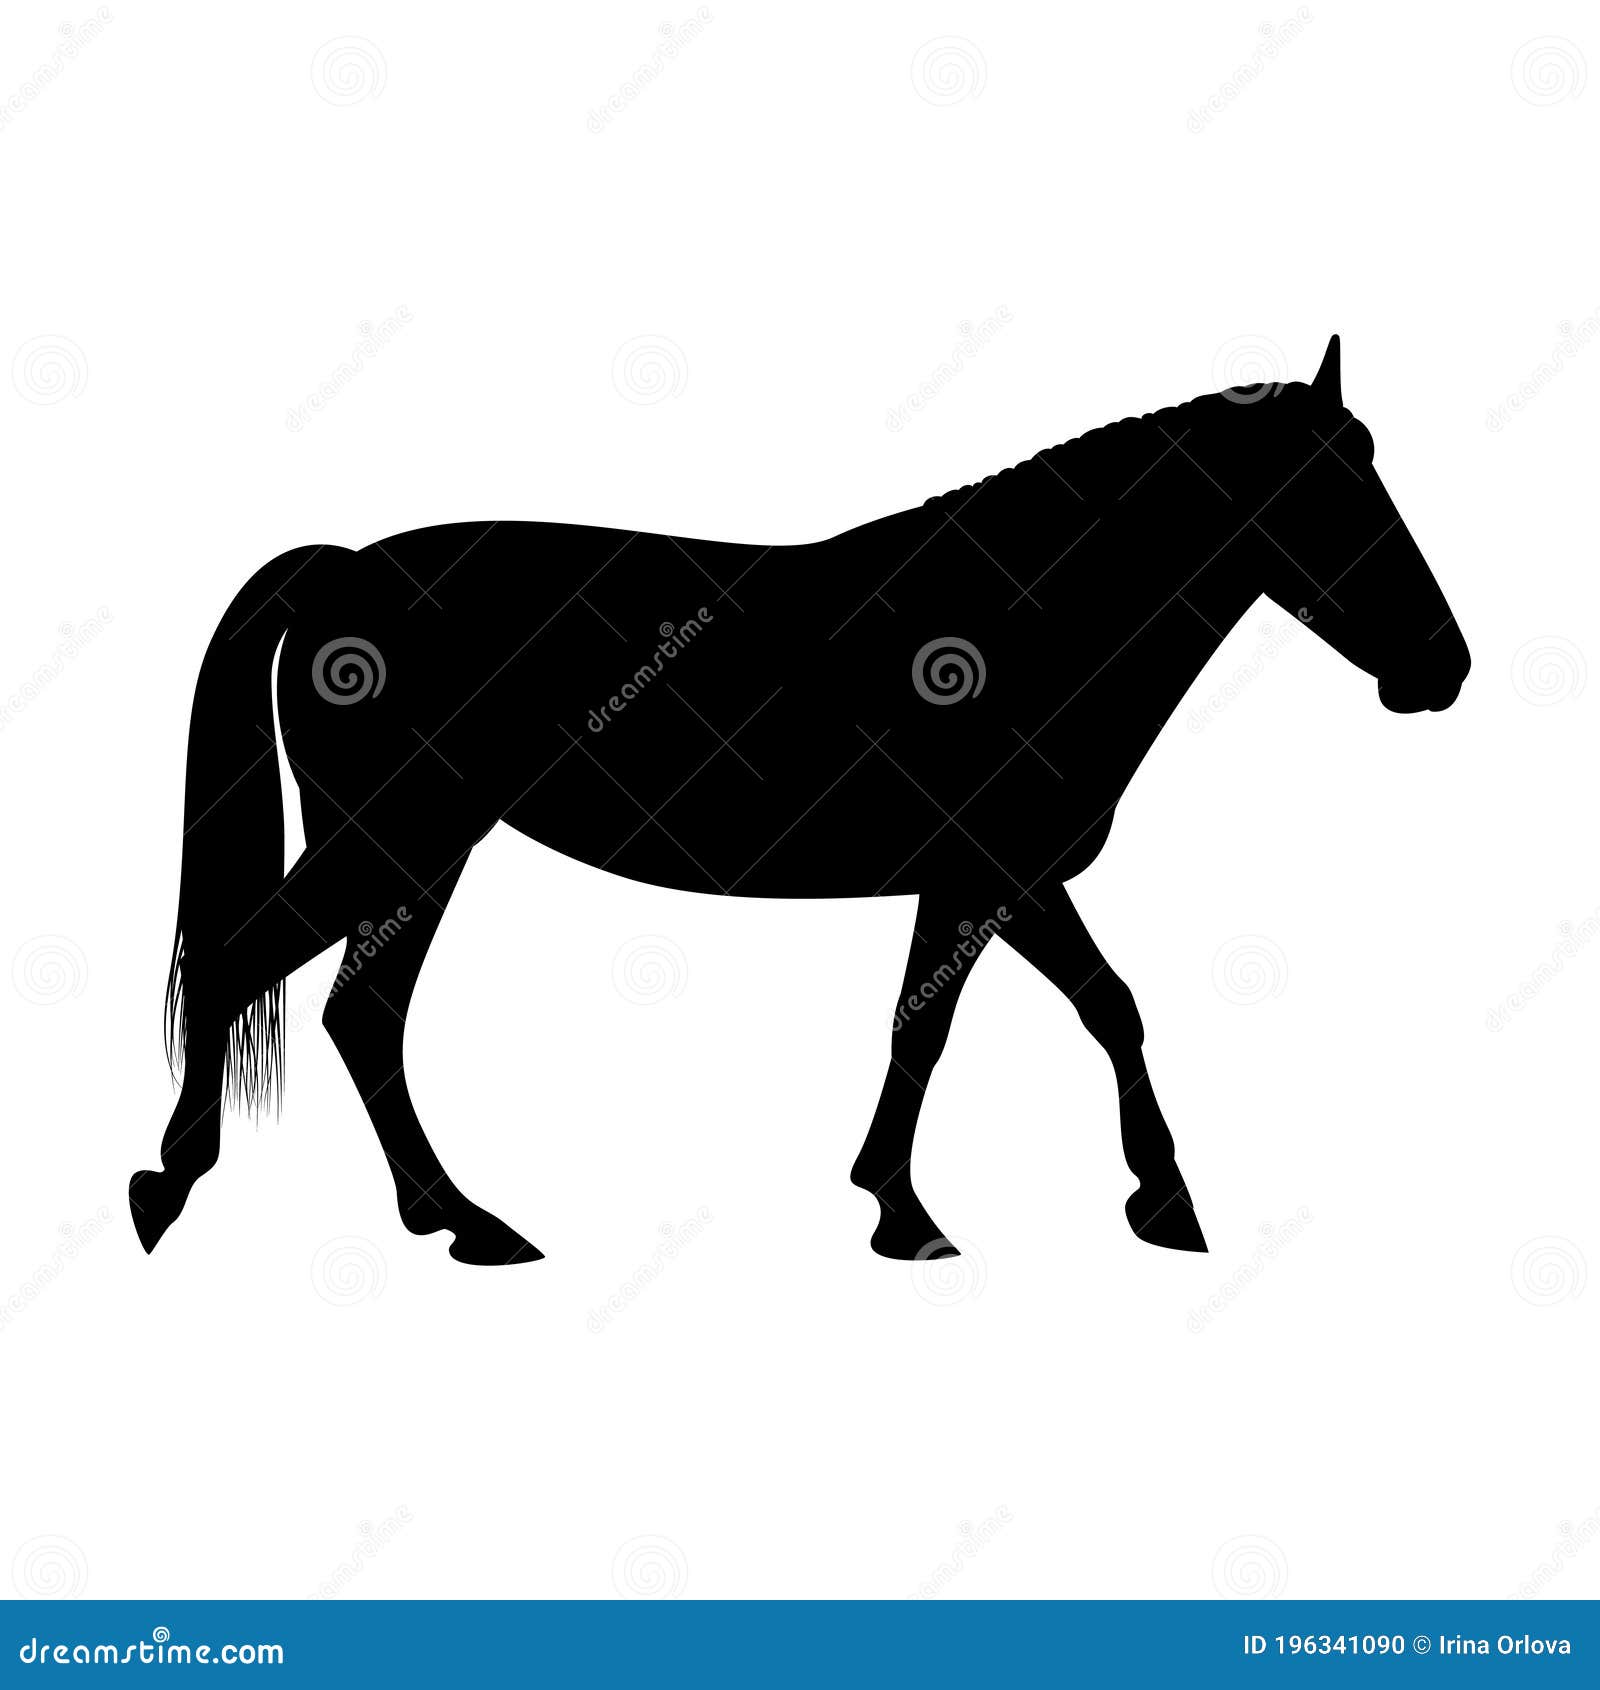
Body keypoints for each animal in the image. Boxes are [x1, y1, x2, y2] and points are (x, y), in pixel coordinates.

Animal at [132, 336, 1469, 1267]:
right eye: (1326, 497)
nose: (1441, 668)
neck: (1022, 619)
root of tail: (342, 570)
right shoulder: (1001, 871)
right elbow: (1075, 1012)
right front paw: (1136, 1202)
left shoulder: (981, 881)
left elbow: (972, 1023)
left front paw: (918, 1205)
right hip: (399, 840)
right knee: (254, 964)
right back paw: (169, 1188)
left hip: (413, 853)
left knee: (358, 1013)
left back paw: (460, 1221)